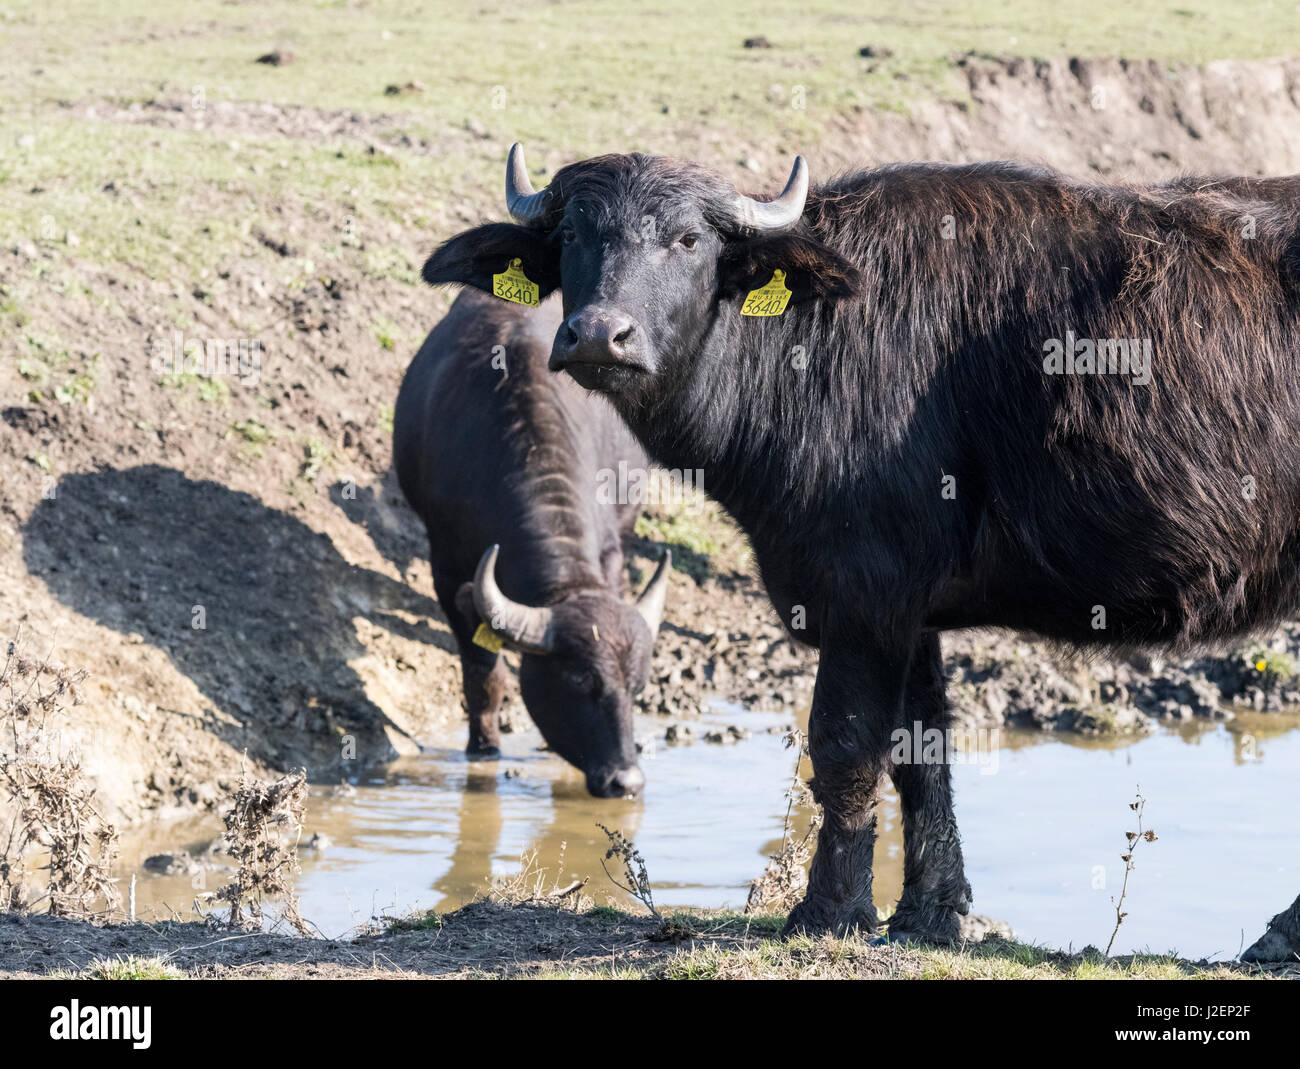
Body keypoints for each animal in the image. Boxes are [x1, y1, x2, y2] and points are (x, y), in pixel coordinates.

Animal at [394, 288, 670, 798]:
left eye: (637, 686)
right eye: (579, 680)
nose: (626, 781)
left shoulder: (610, 550)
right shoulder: (447, 567)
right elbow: (484, 676)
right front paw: (484, 747)